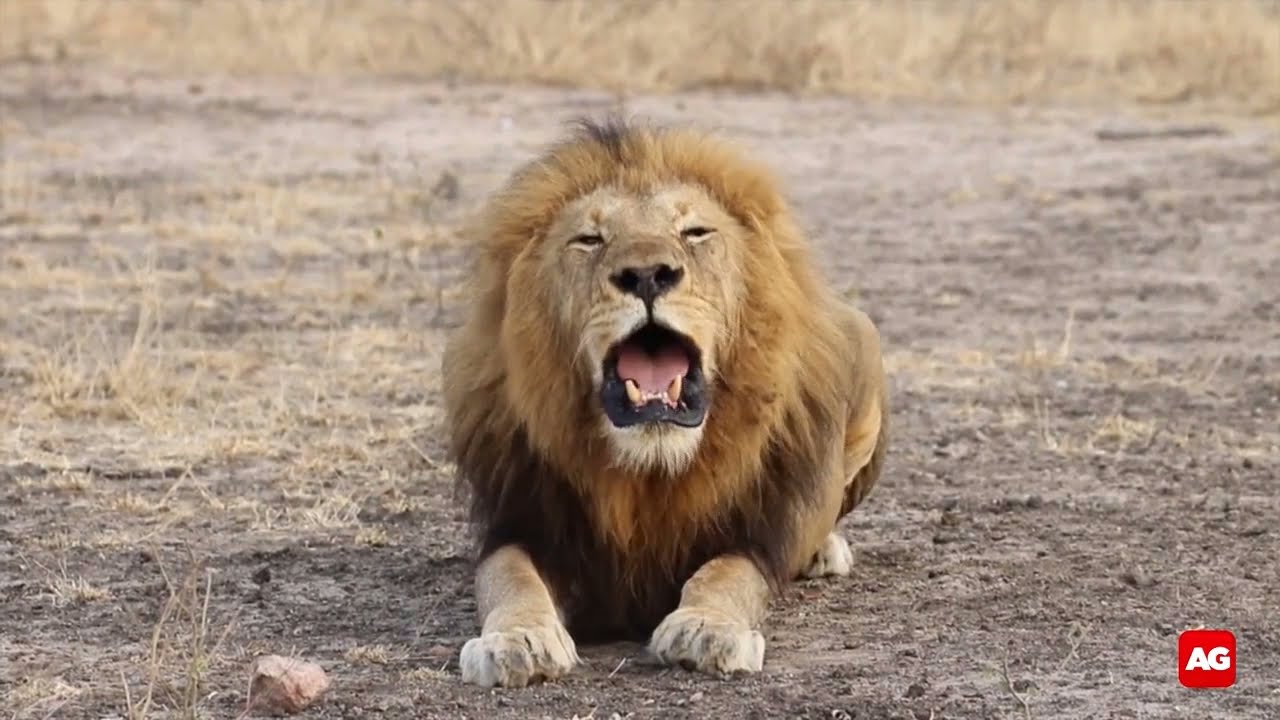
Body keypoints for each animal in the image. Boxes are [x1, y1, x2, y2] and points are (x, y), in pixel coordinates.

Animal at [441, 118, 888, 688]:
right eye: (589, 239)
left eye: (695, 232)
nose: (647, 274)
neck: (650, 466)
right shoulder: (525, 520)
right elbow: (510, 577)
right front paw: (516, 641)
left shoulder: (753, 535)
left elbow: (725, 575)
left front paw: (706, 630)